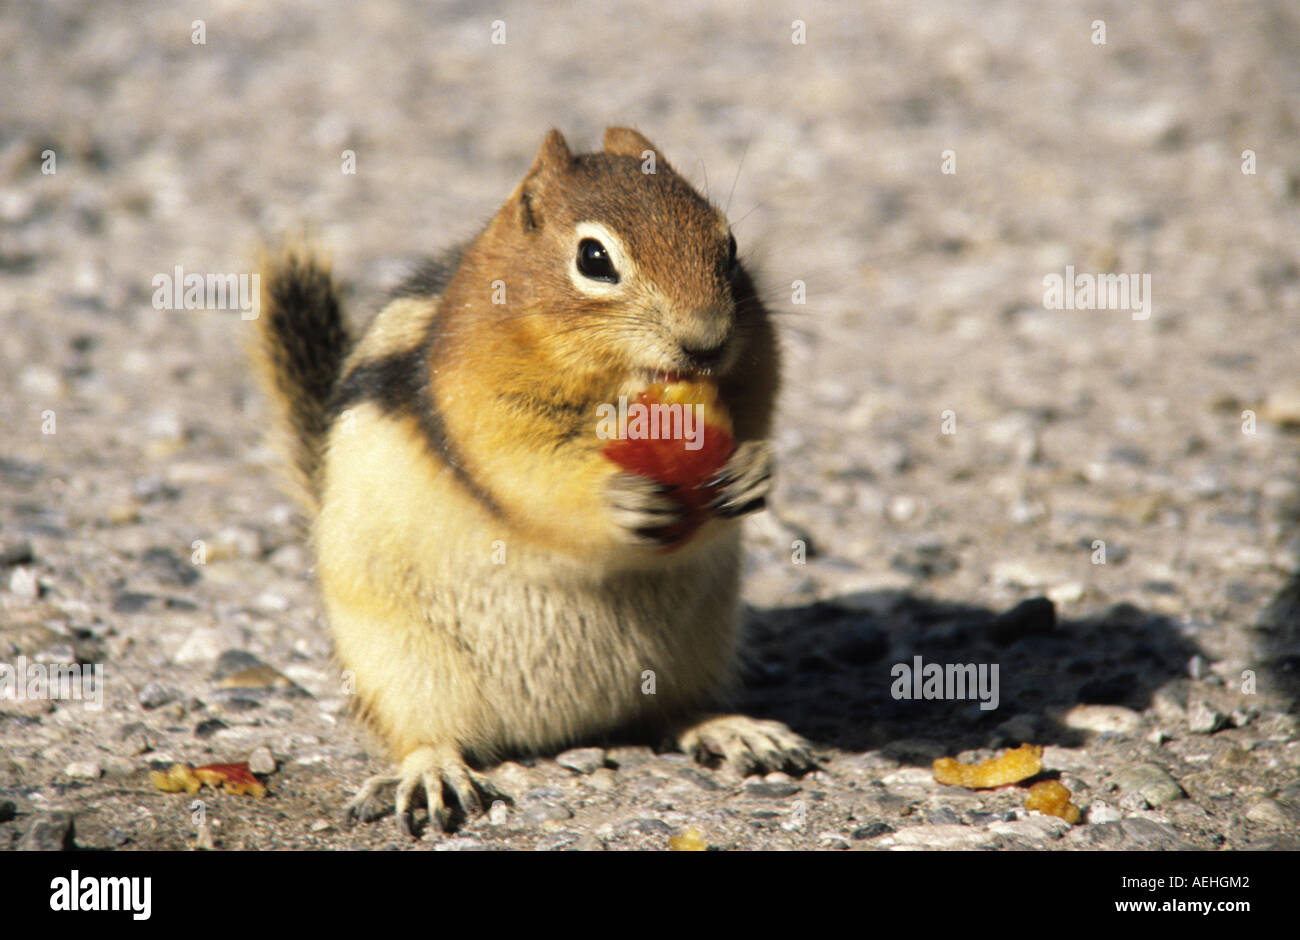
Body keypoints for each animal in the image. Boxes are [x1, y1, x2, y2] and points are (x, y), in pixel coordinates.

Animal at [251, 127, 812, 835]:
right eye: (594, 258)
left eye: (729, 244)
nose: (706, 342)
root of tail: (564, 727)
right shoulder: (482, 400)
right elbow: (526, 466)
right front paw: (617, 498)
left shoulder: (756, 354)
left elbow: (758, 406)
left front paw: (752, 469)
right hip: (400, 662)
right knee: (422, 732)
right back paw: (434, 772)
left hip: (701, 643)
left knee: (675, 709)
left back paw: (733, 727)